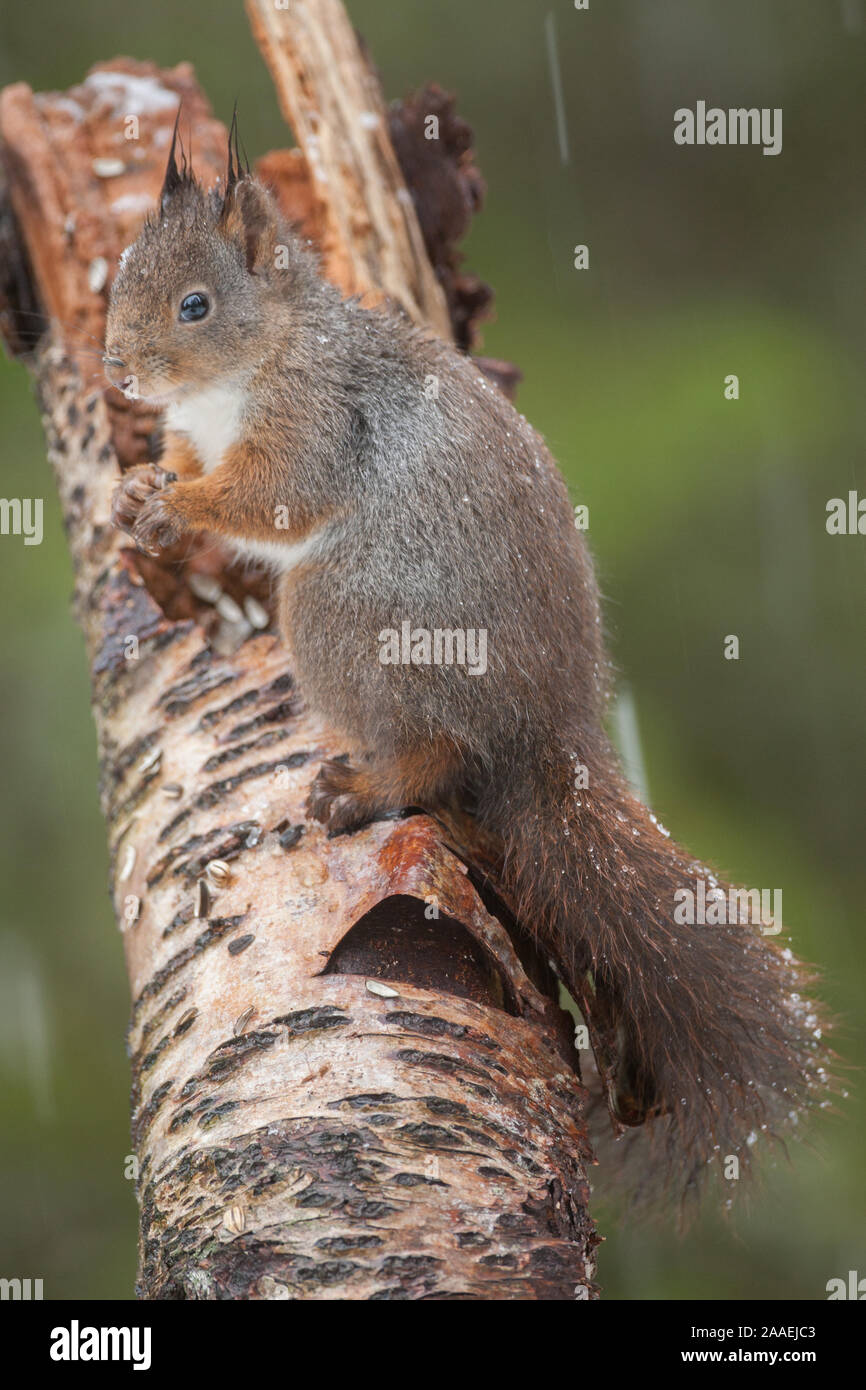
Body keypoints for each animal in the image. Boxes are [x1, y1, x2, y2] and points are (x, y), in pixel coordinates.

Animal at [104, 118, 831, 1203]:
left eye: (196, 304)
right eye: (116, 277)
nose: (117, 372)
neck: (257, 357)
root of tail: (548, 733)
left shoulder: (315, 422)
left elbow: (265, 498)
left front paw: (179, 507)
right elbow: (190, 465)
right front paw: (141, 488)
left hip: (343, 617)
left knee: (435, 756)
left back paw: (361, 787)